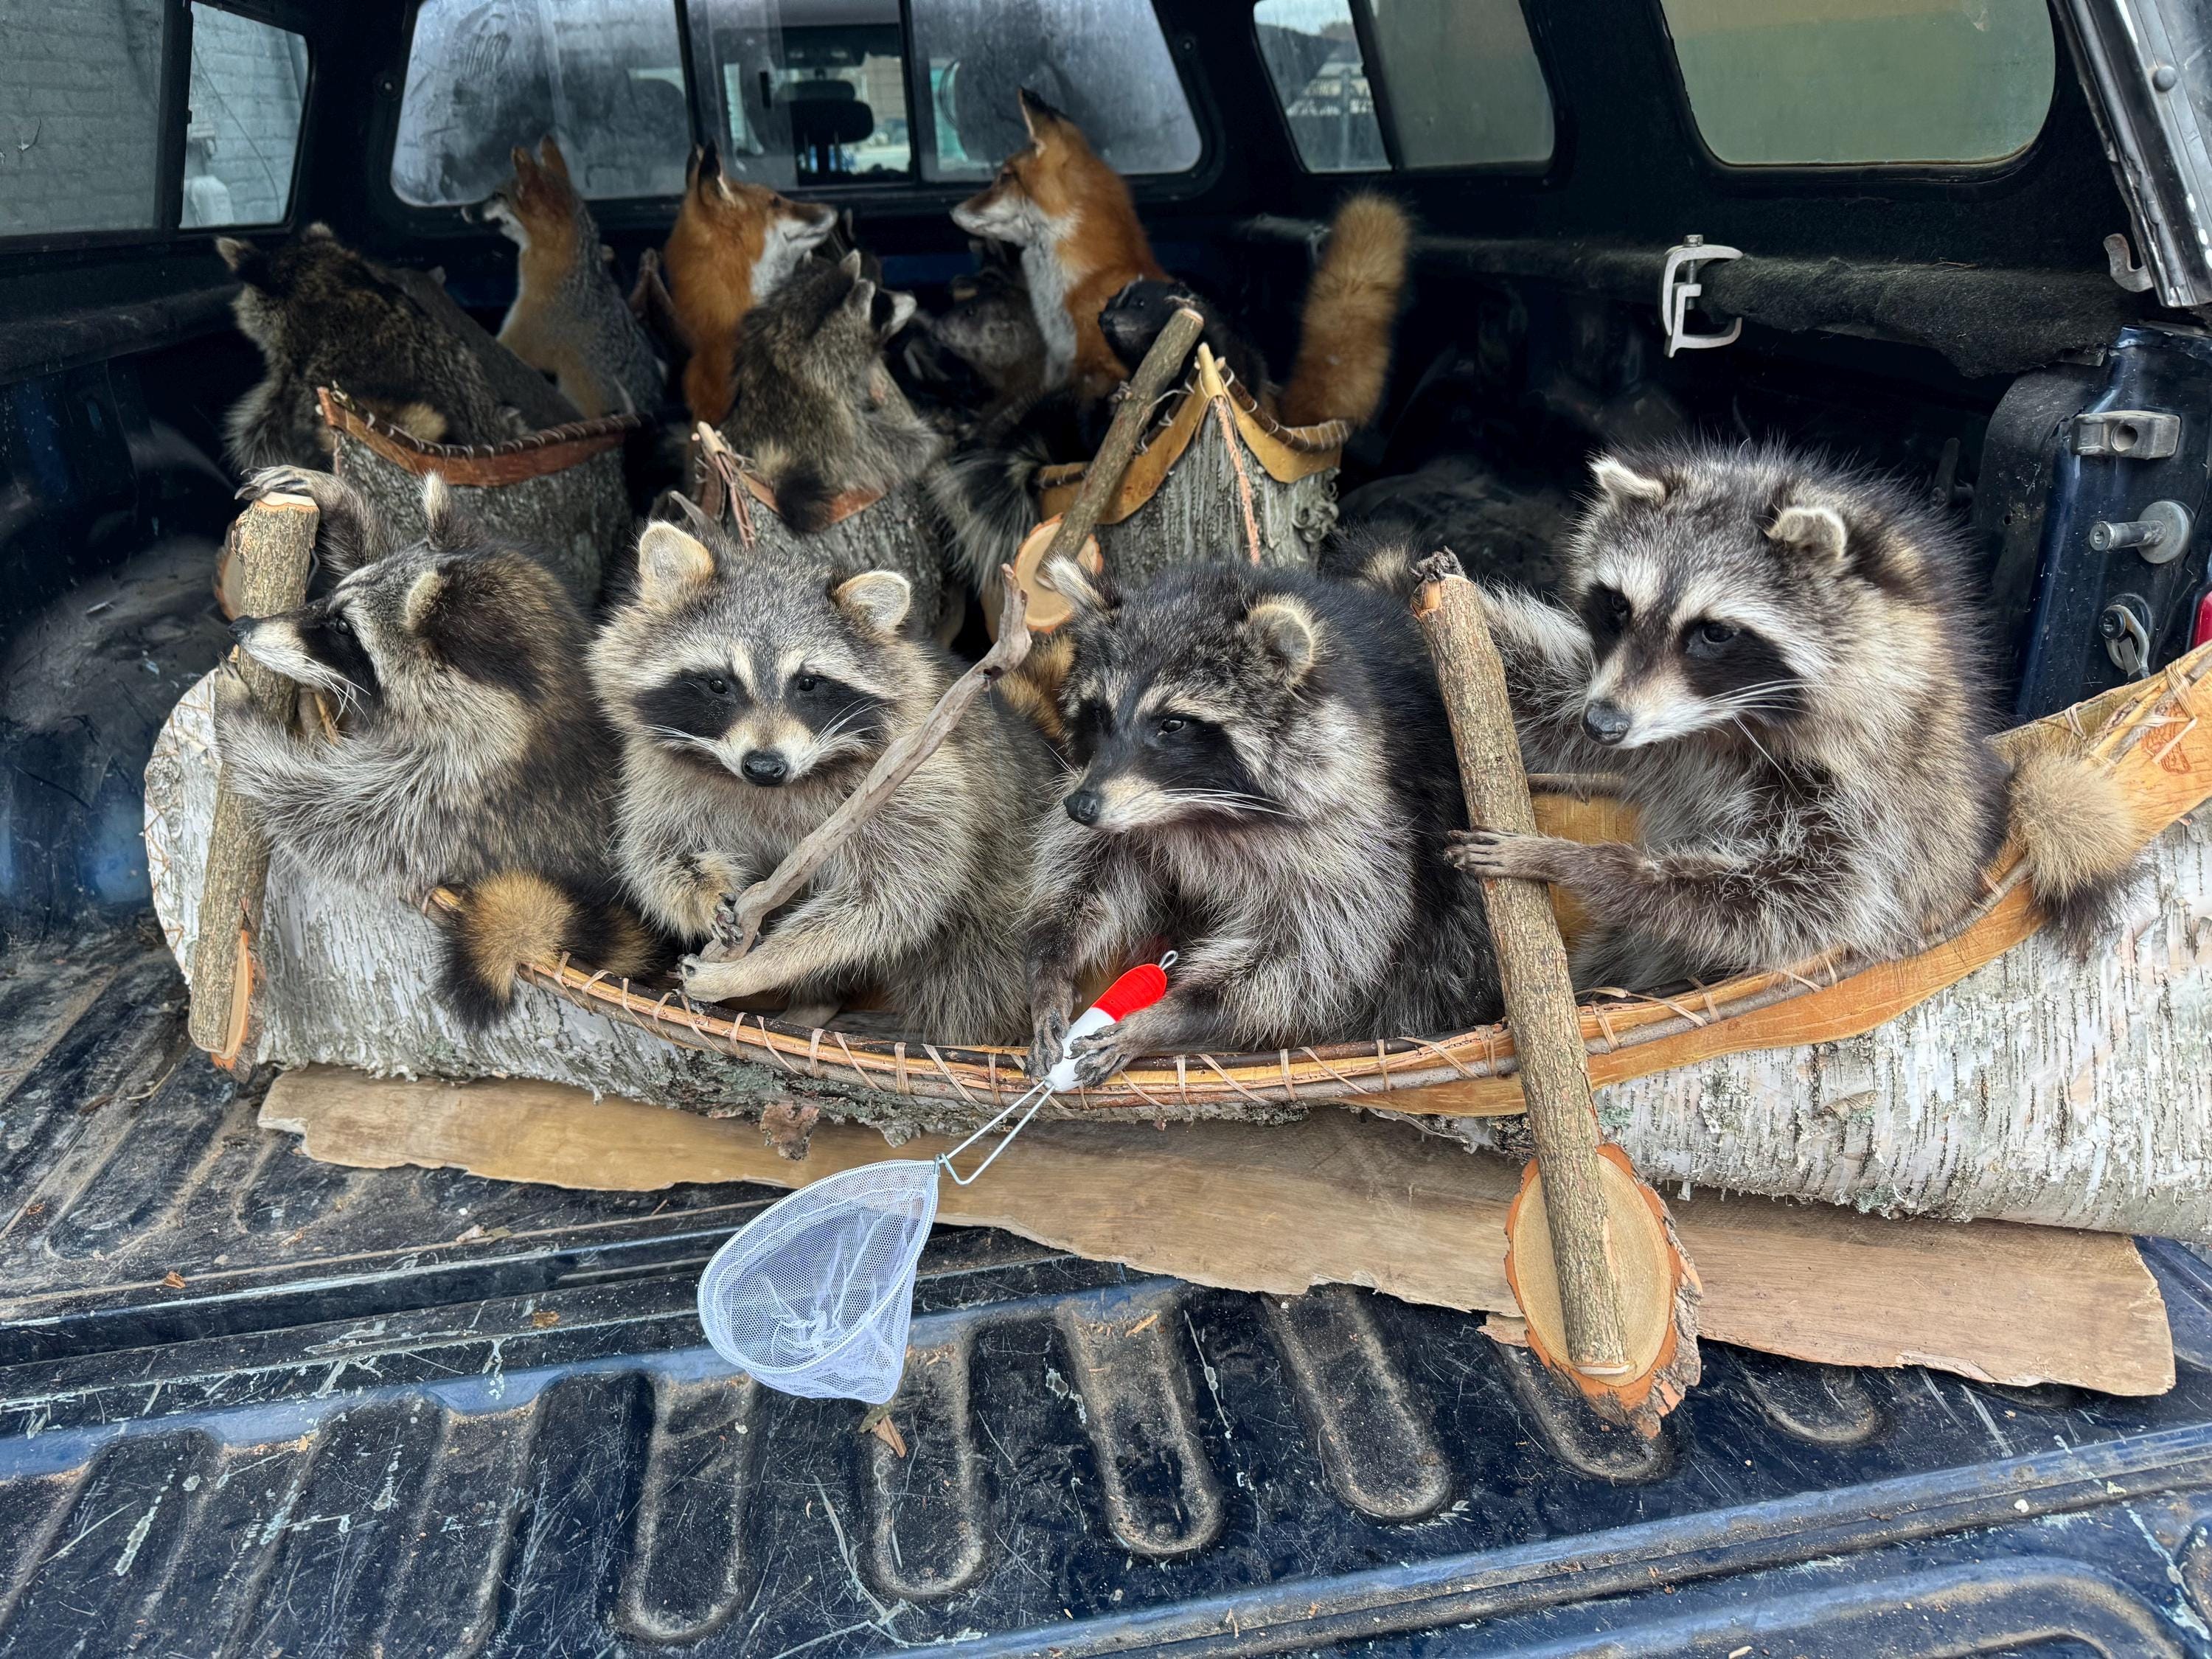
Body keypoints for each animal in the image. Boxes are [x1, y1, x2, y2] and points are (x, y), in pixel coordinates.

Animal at [215, 467, 662, 1023]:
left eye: (343, 629)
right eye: (332, 605)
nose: (241, 626)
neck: (542, 706)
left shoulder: (461, 806)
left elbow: (331, 829)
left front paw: (243, 730)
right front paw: (338, 501)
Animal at [593, 512, 1053, 1042]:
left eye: (808, 683)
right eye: (718, 683)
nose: (764, 766)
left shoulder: (913, 776)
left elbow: (888, 899)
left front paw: (755, 968)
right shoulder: (660, 774)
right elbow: (659, 851)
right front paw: (704, 895)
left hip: (1002, 891)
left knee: (969, 976)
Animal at [1026, 558, 1499, 1086]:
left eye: (1172, 723)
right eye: (1099, 714)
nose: (1081, 807)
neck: (1194, 810)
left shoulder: (1361, 823)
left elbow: (1317, 954)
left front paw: (1170, 1015)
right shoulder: (1123, 805)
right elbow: (1092, 870)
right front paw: (1052, 959)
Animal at [1446, 440, 2144, 990]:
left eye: (1714, 633)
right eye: (1617, 606)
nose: (1607, 722)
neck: (1728, 721)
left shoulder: (1870, 796)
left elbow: (1804, 899)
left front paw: (1581, 863)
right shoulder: (1664, 729)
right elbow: (1559, 709)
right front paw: (1455, 603)